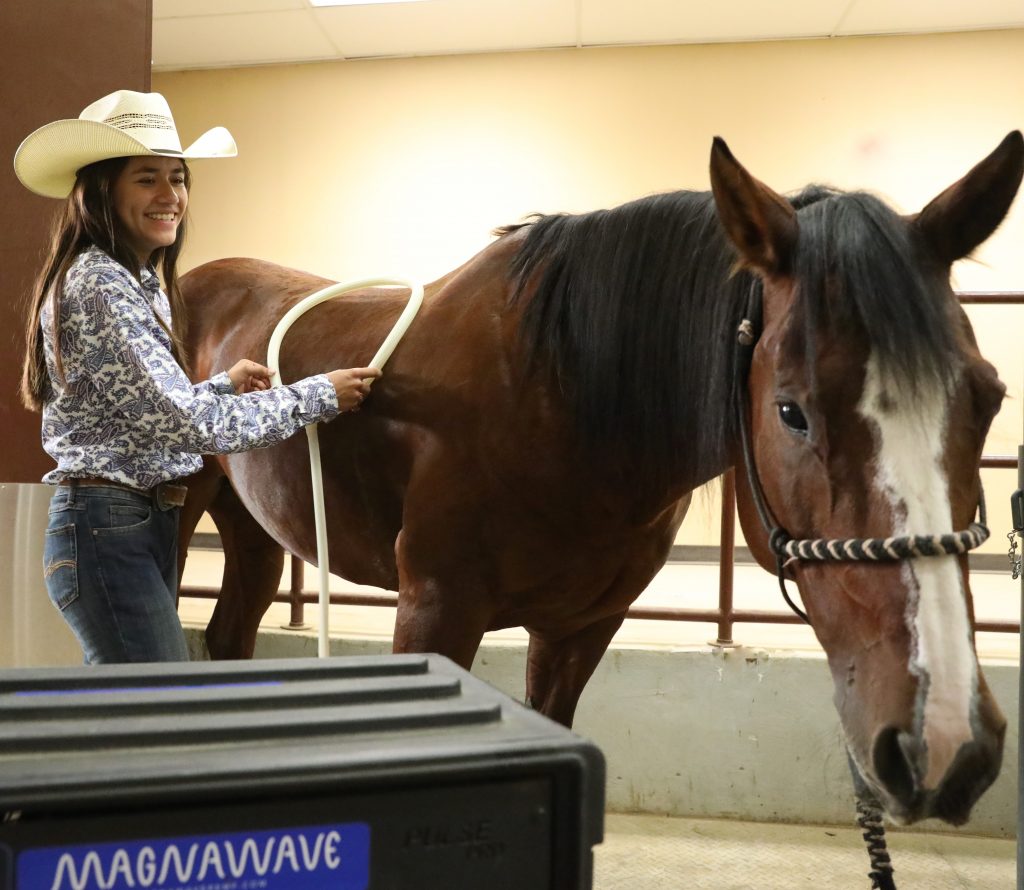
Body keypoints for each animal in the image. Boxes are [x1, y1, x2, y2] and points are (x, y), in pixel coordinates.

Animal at [178, 132, 1023, 832]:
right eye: (792, 411)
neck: (557, 394)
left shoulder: (582, 627)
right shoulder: (435, 611)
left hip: (253, 535)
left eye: (988, 398)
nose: (945, 738)